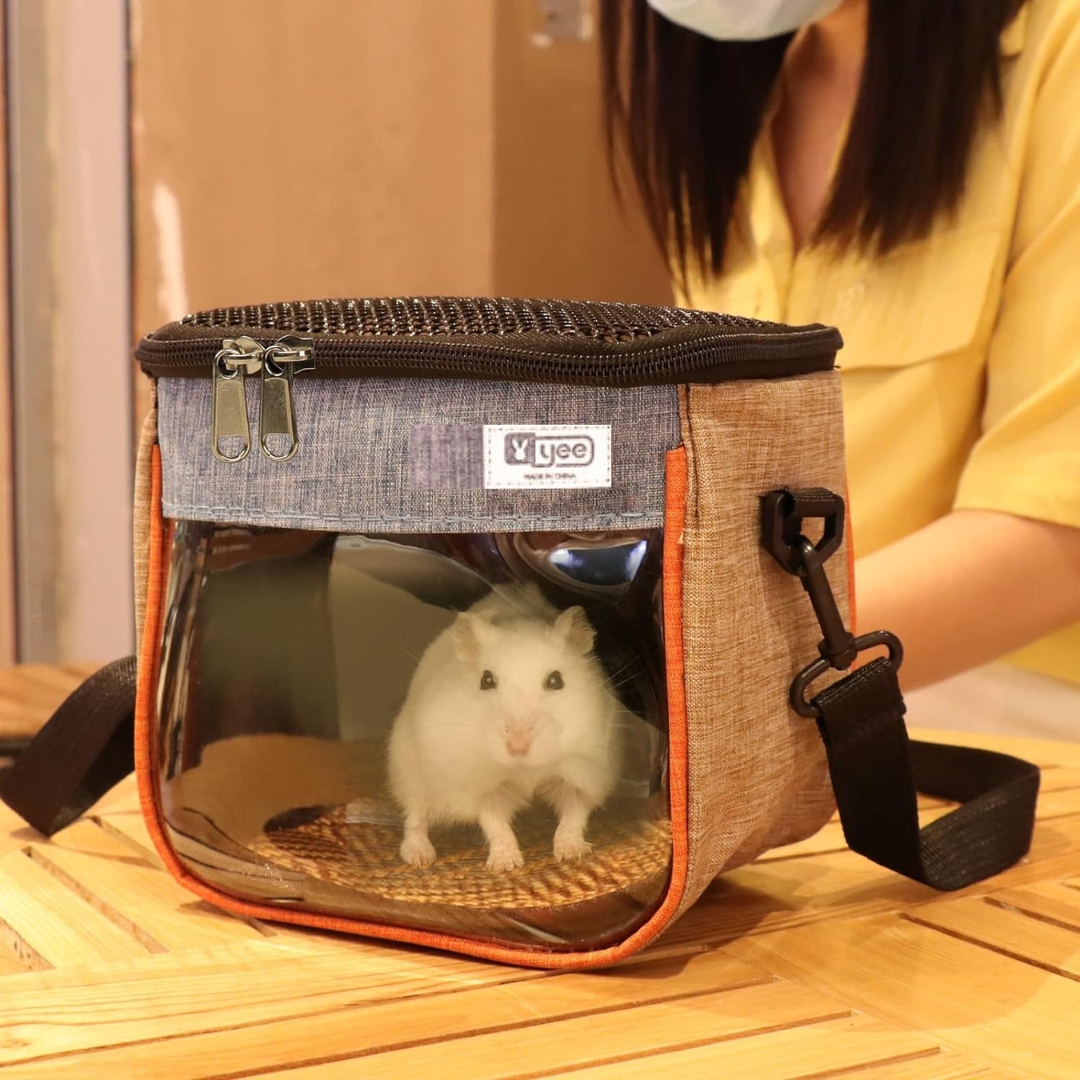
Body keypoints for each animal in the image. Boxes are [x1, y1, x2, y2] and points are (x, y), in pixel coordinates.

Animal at [387, 584, 622, 872]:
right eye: (486, 680)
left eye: (556, 680)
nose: (517, 747)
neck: (525, 770)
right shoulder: (485, 788)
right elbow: (495, 823)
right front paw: (506, 865)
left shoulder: (583, 773)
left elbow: (574, 813)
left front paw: (572, 854)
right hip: (410, 773)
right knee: (415, 818)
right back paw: (421, 858)